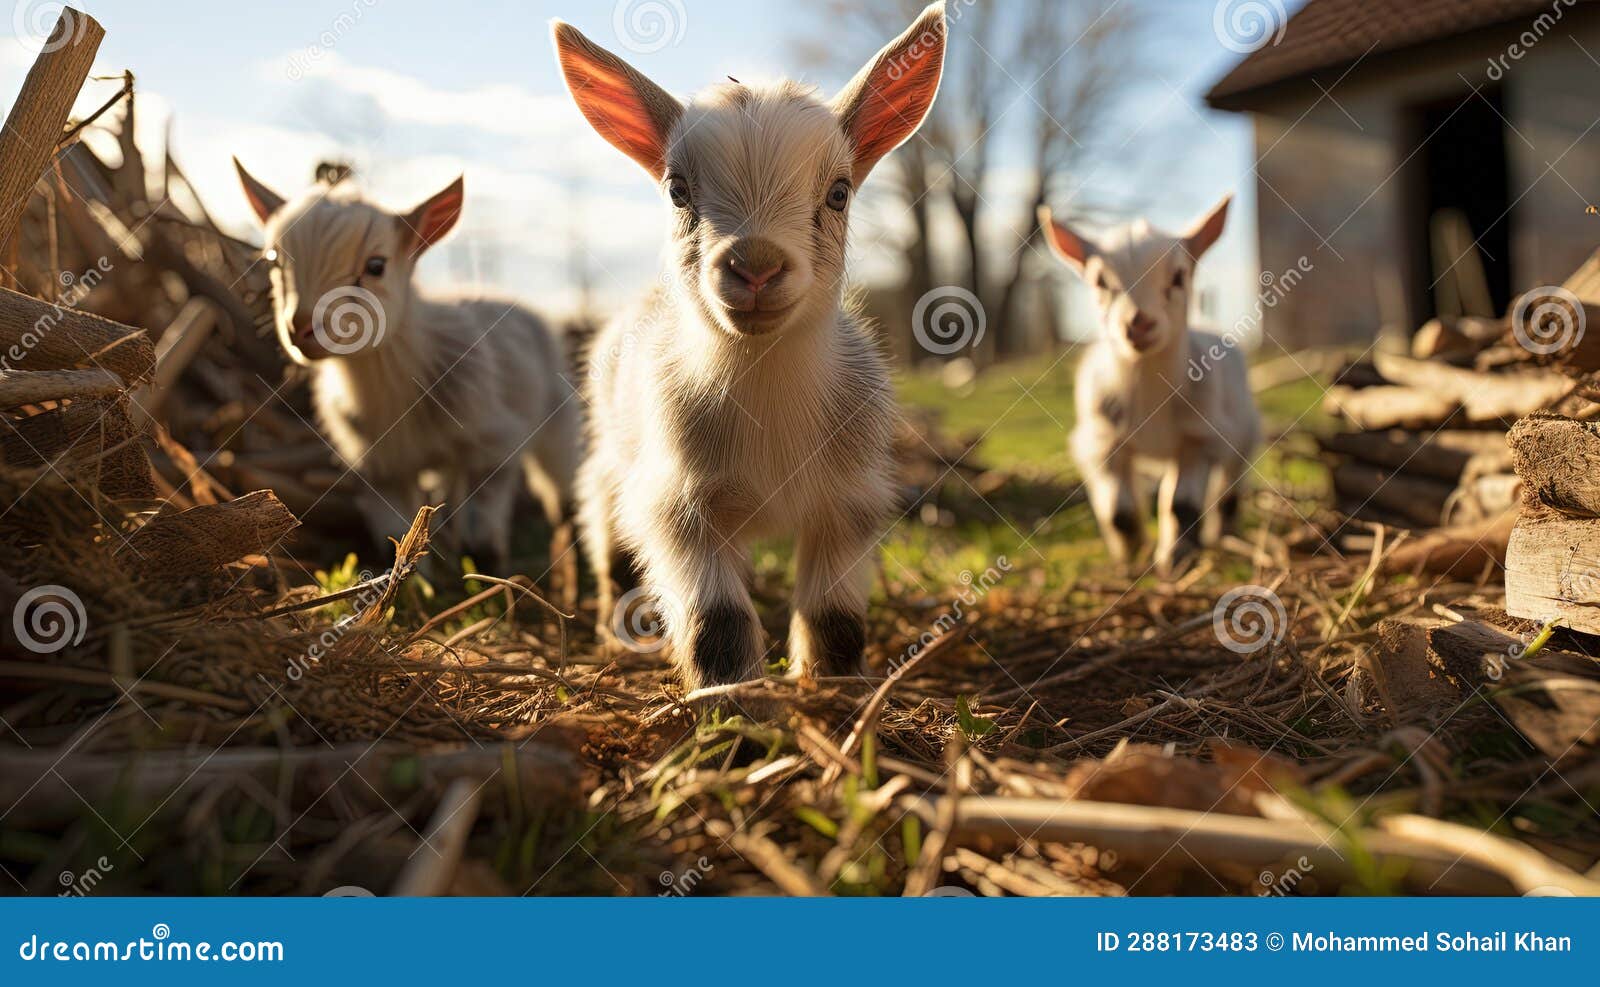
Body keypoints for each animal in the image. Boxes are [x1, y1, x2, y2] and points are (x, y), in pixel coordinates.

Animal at [232, 162, 581, 574]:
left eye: (376, 266)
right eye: (273, 260)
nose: (300, 327)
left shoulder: (493, 445)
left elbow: (484, 539)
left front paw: (491, 580)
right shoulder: (381, 468)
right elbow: (396, 540)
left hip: (555, 416)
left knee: (563, 483)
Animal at [551, 3, 947, 689]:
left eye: (839, 192)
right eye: (677, 190)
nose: (755, 266)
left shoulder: (849, 502)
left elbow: (836, 618)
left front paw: (833, 690)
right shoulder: (679, 508)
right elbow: (717, 621)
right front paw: (733, 700)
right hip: (610, 459)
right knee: (609, 534)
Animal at [1038, 197, 1260, 576]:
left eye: (1179, 276)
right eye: (1100, 281)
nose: (1139, 323)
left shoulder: (1198, 437)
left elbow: (1181, 504)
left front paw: (1176, 560)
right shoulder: (1103, 442)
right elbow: (1119, 512)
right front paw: (1129, 558)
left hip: (1243, 431)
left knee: (1229, 486)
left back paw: (1221, 534)